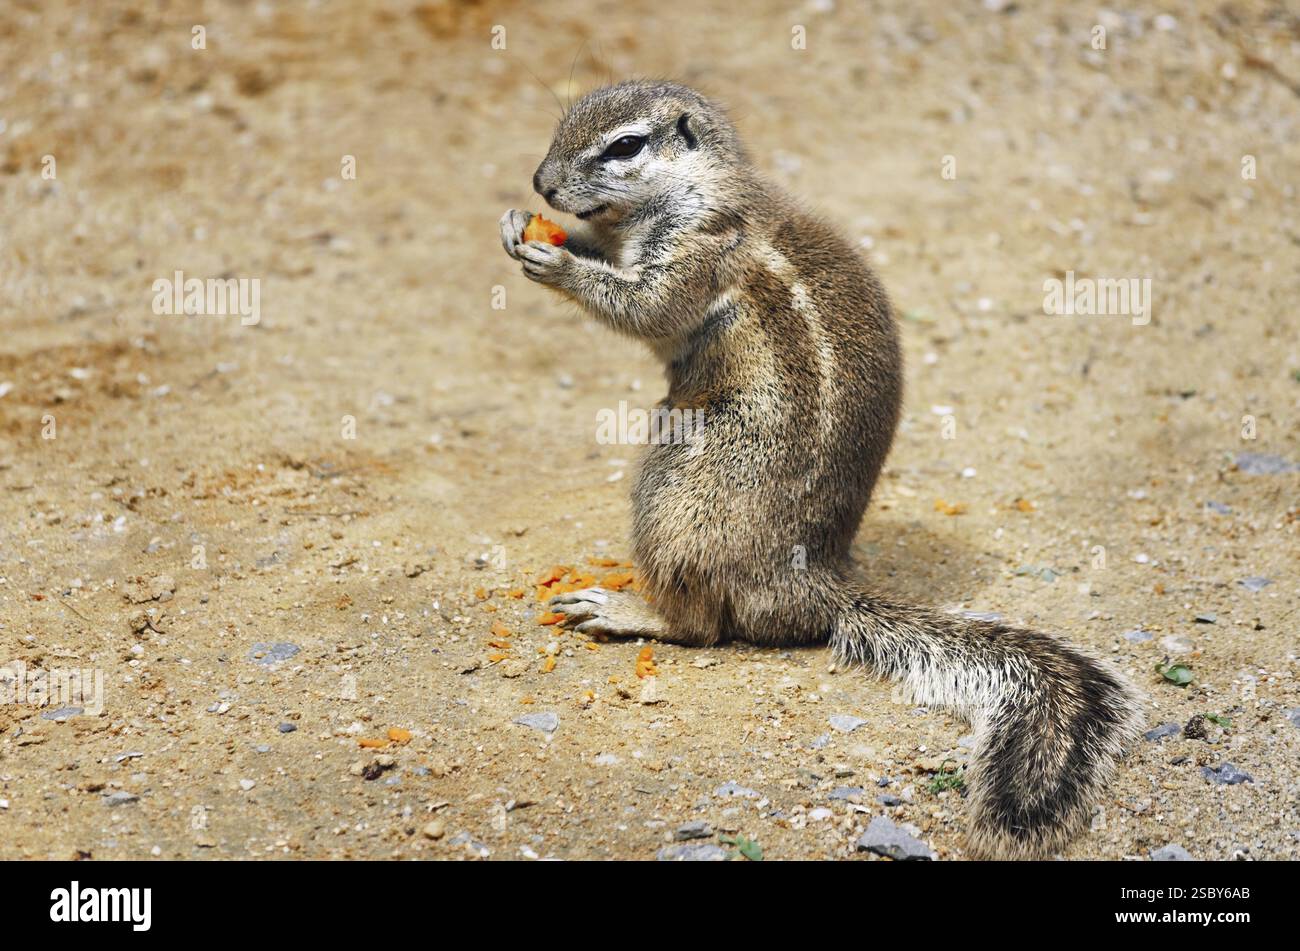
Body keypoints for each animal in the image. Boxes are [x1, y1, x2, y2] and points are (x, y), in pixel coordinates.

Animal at [499, 80, 1143, 859]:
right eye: (565, 120)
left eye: (625, 146)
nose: (541, 185)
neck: (692, 190)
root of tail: (814, 586)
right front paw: (520, 225)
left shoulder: (700, 252)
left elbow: (646, 306)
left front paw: (555, 262)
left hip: (679, 489)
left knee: (701, 625)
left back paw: (626, 609)